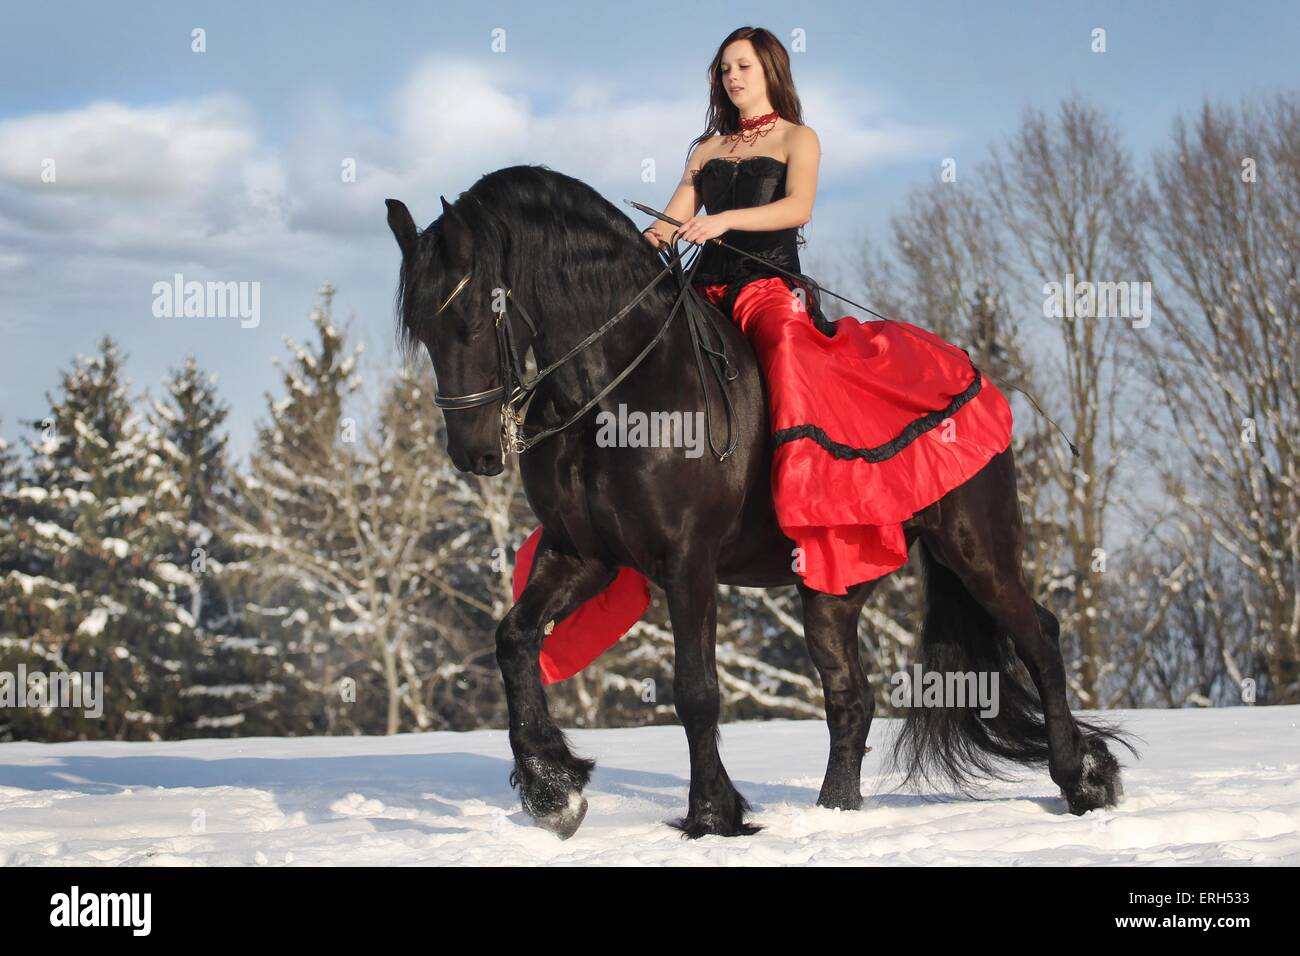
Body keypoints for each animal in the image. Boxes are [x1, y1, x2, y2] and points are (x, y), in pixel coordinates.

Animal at [385, 163, 1130, 840]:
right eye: (421, 328)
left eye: (475, 314)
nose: (473, 452)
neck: (616, 388)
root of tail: (978, 375)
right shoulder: (581, 556)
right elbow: (512, 641)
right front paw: (554, 792)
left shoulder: (687, 561)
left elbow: (695, 690)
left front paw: (712, 816)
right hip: (833, 586)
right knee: (850, 697)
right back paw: (834, 816)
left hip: (977, 552)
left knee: (1040, 637)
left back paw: (1083, 780)